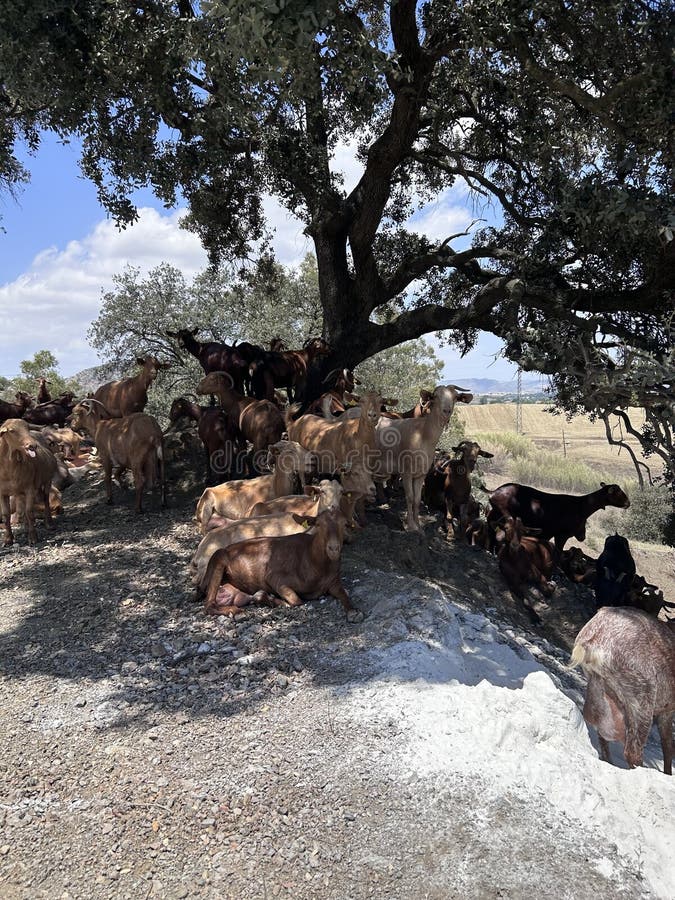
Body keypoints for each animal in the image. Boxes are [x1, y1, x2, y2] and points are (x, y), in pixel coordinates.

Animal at [203, 508, 360, 621]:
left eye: (344, 524)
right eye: (318, 524)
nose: (333, 548)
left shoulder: (333, 581)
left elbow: (344, 593)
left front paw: (354, 612)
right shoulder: (275, 578)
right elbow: (296, 601)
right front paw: (270, 599)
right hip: (219, 558)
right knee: (209, 605)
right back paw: (235, 611)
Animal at [370, 385, 474, 531]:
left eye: (455, 397)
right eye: (435, 396)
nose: (446, 411)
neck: (422, 434)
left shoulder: (421, 474)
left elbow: (417, 499)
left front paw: (418, 526)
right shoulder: (406, 472)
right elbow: (410, 497)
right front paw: (410, 526)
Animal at [488, 482, 630, 552]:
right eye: (618, 493)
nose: (628, 503)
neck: (580, 506)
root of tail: (494, 492)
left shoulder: (549, 533)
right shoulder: (562, 535)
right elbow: (558, 553)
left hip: (494, 512)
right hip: (506, 515)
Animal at [570, 607, 675, 774]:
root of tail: (593, 640)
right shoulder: (667, 708)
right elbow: (667, 744)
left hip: (598, 688)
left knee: (601, 732)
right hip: (642, 699)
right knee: (632, 751)